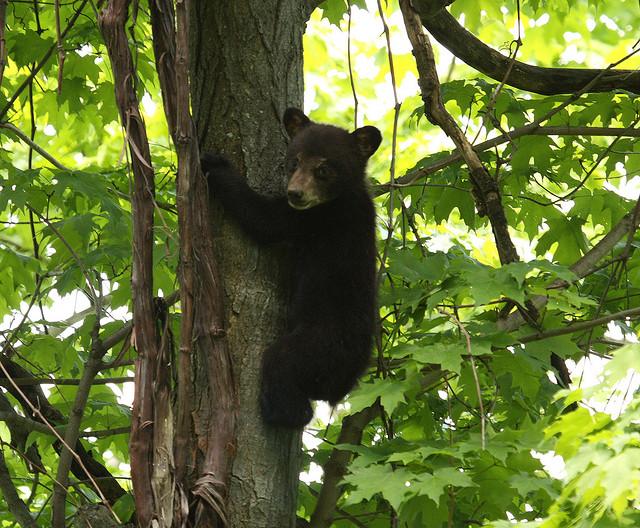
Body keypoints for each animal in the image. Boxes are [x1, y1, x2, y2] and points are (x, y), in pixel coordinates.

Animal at [201, 108, 381, 428]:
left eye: (323, 169)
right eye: (293, 161)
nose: (295, 193)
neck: (343, 195)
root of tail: (343, 385)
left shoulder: (313, 219)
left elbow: (264, 219)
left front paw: (216, 165)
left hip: (320, 345)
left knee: (280, 361)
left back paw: (281, 412)